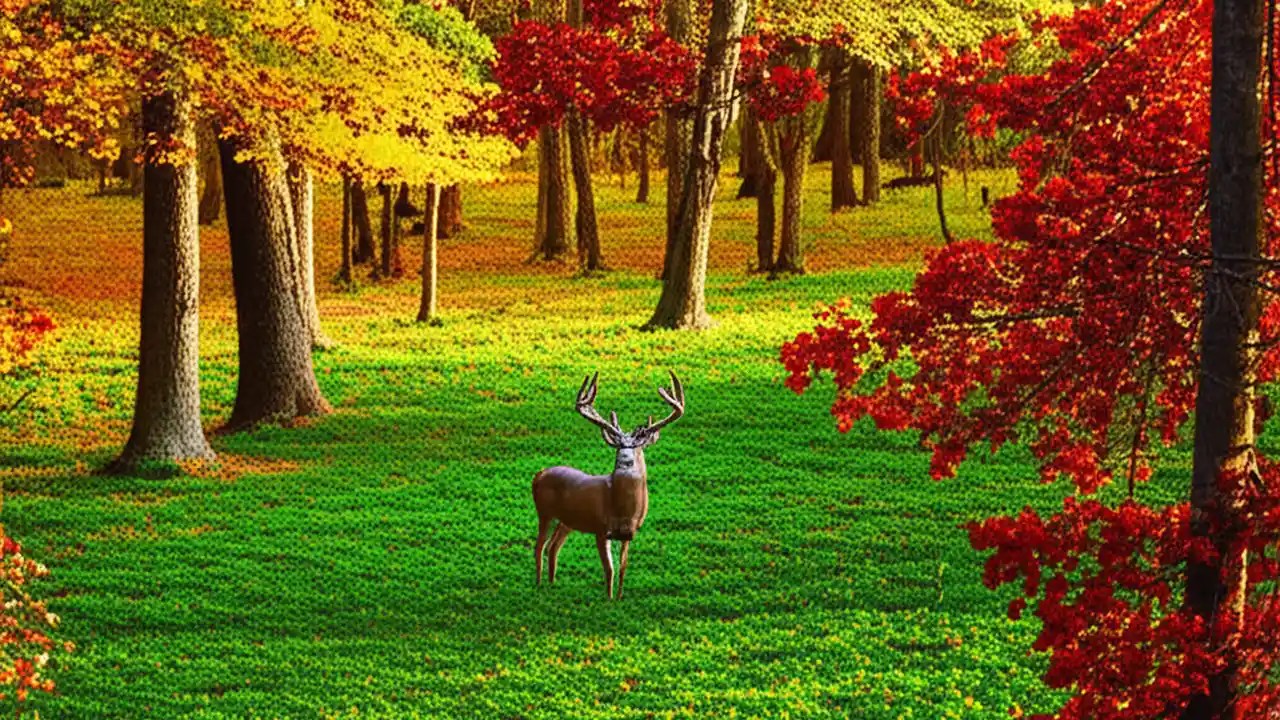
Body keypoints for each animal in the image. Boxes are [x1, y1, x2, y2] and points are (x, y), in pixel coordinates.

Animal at [532, 371, 685, 600]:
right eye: (618, 446)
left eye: (638, 446)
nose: (625, 460)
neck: (622, 508)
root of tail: (539, 474)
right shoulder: (600, 528)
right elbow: (609, 569)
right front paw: (608, 599)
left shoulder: (630, 533)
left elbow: (622, 568)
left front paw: (620, 597)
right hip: (544, 512)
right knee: (539, 546)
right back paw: (539, 585)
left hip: (567, 521)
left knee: (553, 547)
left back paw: (552, 583)